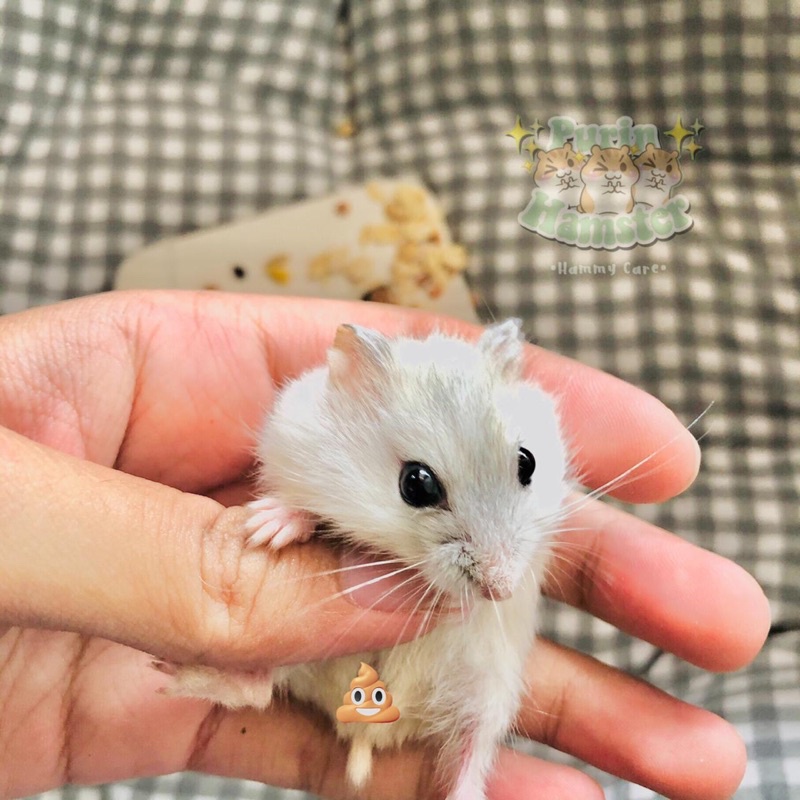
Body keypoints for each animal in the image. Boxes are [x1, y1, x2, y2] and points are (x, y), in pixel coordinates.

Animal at [167, 320, 570, 800]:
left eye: (528, 462)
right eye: (416, 483)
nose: (501, 591)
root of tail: (369, 732)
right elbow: (304, 507)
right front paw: (264, 529)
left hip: (487, 696)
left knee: (469, 758)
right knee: (259, 688)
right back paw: (170, 675)